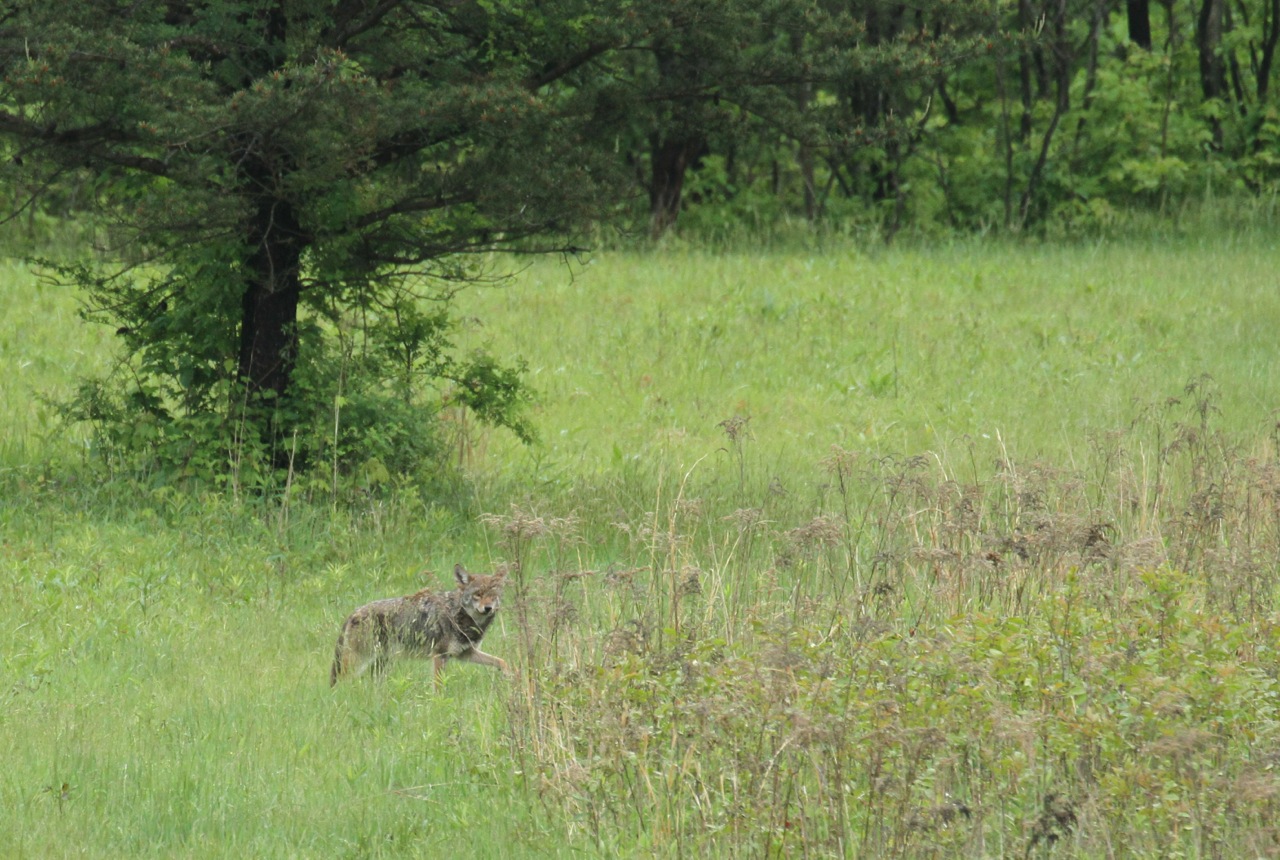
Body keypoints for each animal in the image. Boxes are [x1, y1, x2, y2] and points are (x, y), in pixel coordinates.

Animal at [330, 564, 508, 686]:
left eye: (493, 595)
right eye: (478, 594)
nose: (488, 608)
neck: (458, 615)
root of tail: (354, 613)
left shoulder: (466, 654)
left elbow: (502, 661)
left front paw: (508, 675)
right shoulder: (440, 656)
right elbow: (439, 688)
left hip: (381, 665)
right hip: (358, 664)